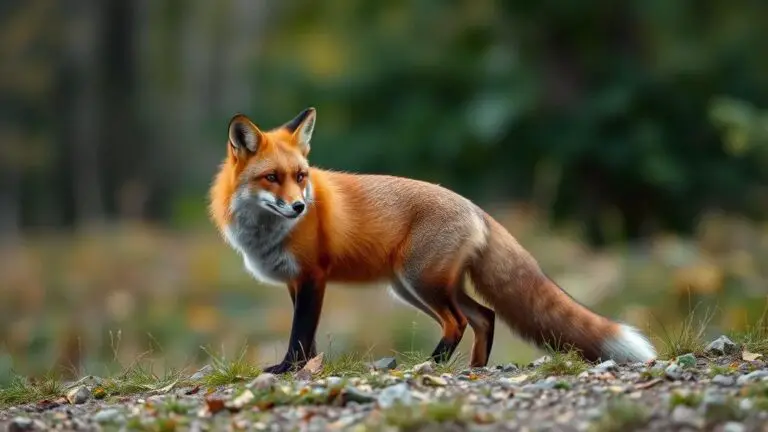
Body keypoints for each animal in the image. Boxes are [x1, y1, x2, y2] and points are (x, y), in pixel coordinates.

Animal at [208, 107, 657, 374]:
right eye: (272, 177)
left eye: (300, 176)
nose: (301, 206)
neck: (264, 232)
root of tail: (475, 207)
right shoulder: (296, 281)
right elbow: (308, 335)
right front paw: (308, 368)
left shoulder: (313, 277)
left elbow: (300, 334)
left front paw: (288, 369)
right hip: (420, 288)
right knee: (484, 317)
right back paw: (473, 369)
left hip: (420, 282)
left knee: (459, 322)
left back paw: (430, 366)